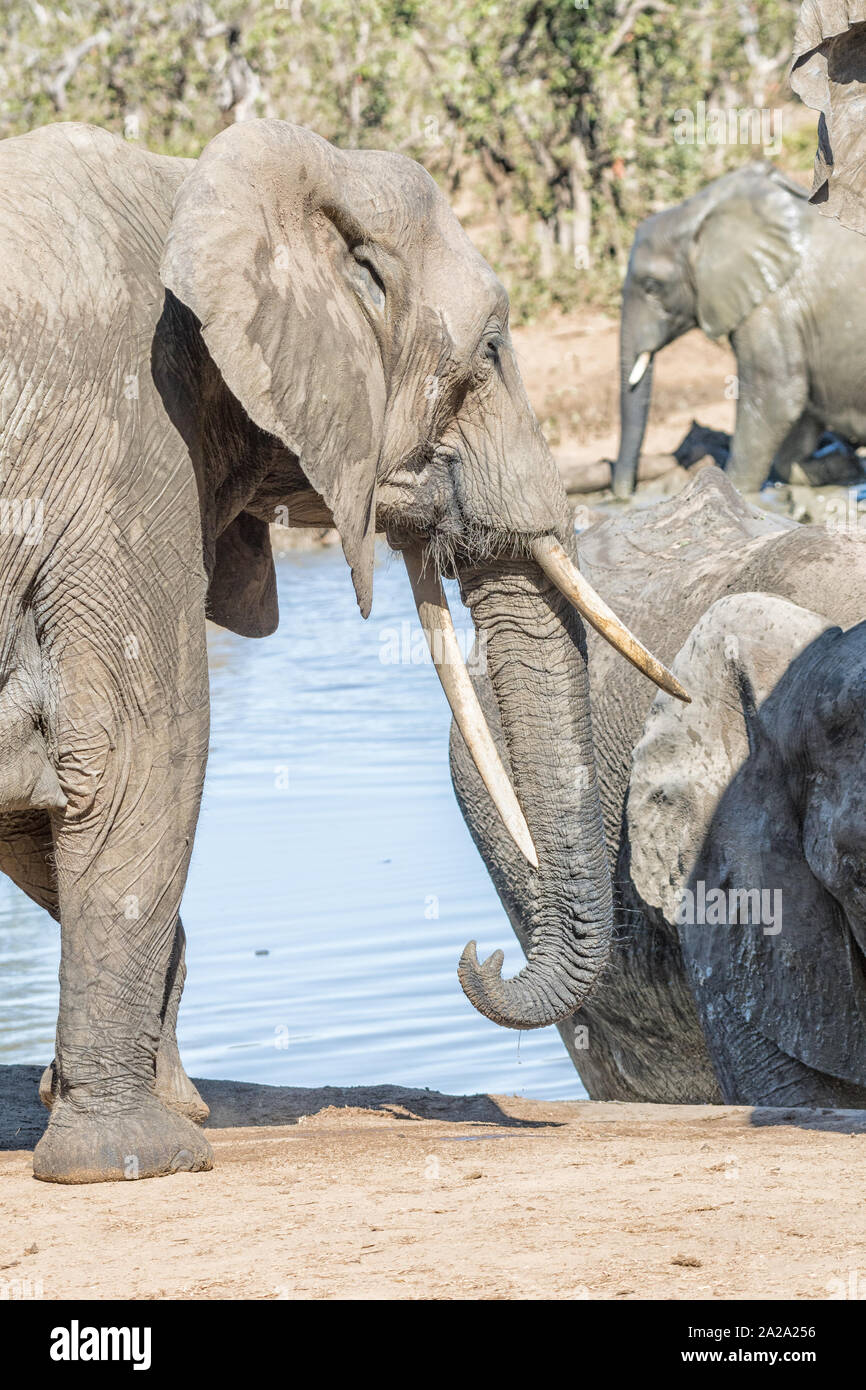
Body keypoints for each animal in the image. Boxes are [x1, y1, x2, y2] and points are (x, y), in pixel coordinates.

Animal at [0, 121, 681, 1183]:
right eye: (491, 351)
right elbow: (134, 752)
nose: (480, 957)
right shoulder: (126, 435)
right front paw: (138, 1158)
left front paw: (158, 1110)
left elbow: (42, 796)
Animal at [612, 161, 866, 499]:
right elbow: (798, 419)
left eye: (652, 287)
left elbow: (776, 397)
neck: (697, 212)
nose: (624, 497)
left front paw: (734, 488)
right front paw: (840, 465)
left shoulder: (772, 307)